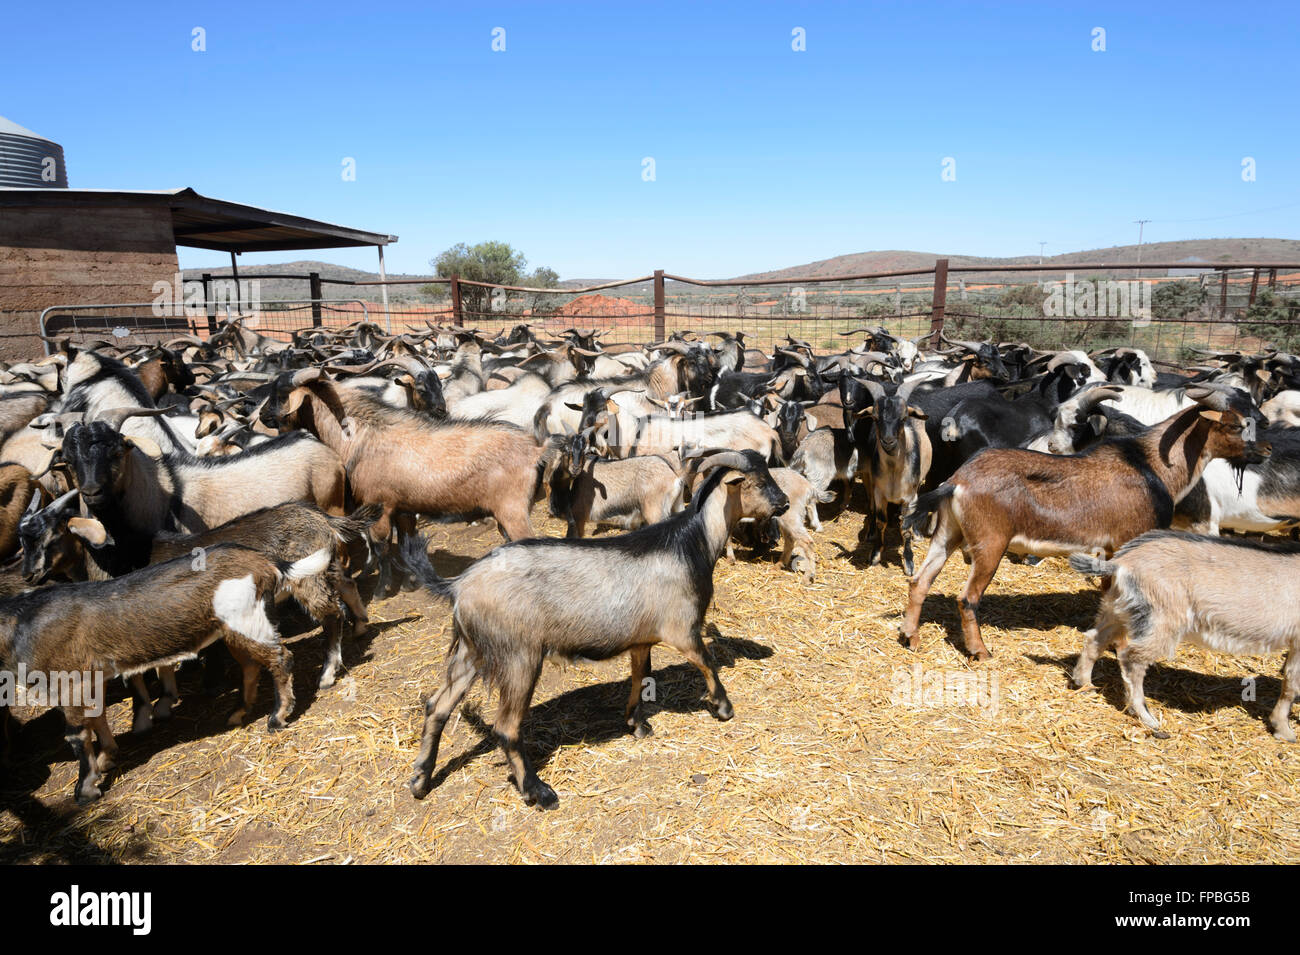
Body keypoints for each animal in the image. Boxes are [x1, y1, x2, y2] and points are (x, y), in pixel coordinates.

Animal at [402, 448, 789, 808]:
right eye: (757, 482)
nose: (784, 502)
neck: (690, 544)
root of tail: (459, 585)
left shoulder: (641, 639)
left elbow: (640, 675)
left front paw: (637, 724)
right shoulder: (681, 629)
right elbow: (706, 662)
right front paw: (723, 707)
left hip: (472, 650)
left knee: (437, 706)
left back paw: (420, 780)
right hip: (518, 656)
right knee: (506, 727)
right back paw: (538, 792)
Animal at [901, 392, 1269, 660]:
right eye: (1236, 425)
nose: (1266, 450)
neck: (1151, 465)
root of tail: (958, 482)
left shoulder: (1108, 550)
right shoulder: (1129, 541)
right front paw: (1121, 648)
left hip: (948, 532)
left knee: (920, 581)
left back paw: (910, 637)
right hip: (990, 542)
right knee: (967, 597)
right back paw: (980, 651)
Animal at [1070, 531, 1300, 741]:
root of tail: (1121, 563)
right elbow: (1291, 683)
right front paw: (1284, 730)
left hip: (1120, 608)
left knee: (1095, 639)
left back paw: (1084, 684)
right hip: (1161, 617)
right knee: (1132, 658)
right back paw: (1146, 716)